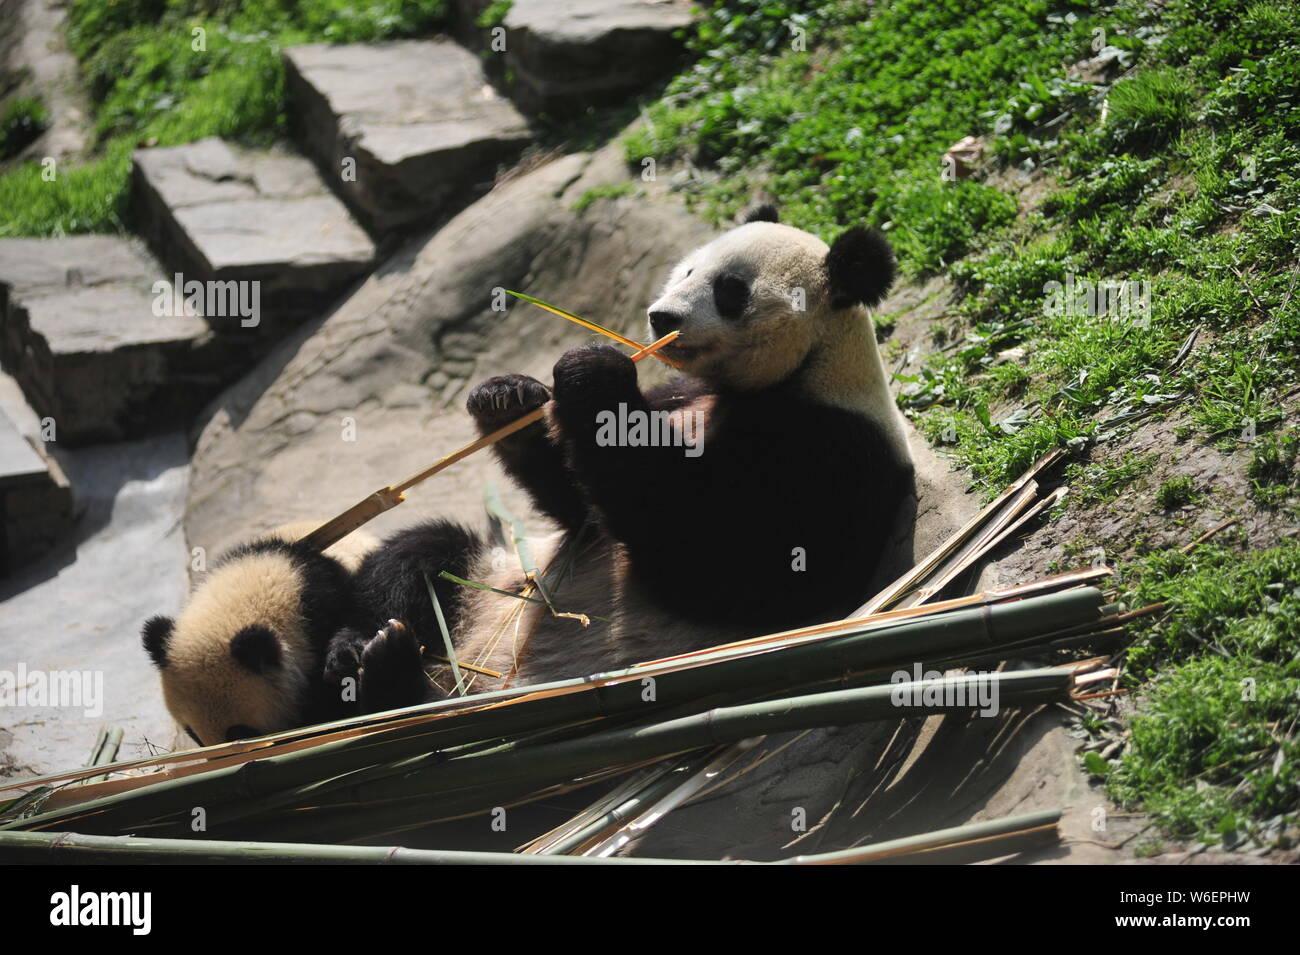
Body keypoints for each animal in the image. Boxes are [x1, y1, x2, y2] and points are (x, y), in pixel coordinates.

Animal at [142, 207, 916, 740]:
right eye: (686, 269)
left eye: (728, 288)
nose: (660, 314)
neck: (801, 371)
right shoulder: (683, 398)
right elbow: (583, 507)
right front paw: (508, 398)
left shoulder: (832, 448)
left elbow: (736, 561)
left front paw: (592, 373)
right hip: (485, 577)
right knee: (417, 557)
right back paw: (357, 653)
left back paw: (385, 678)